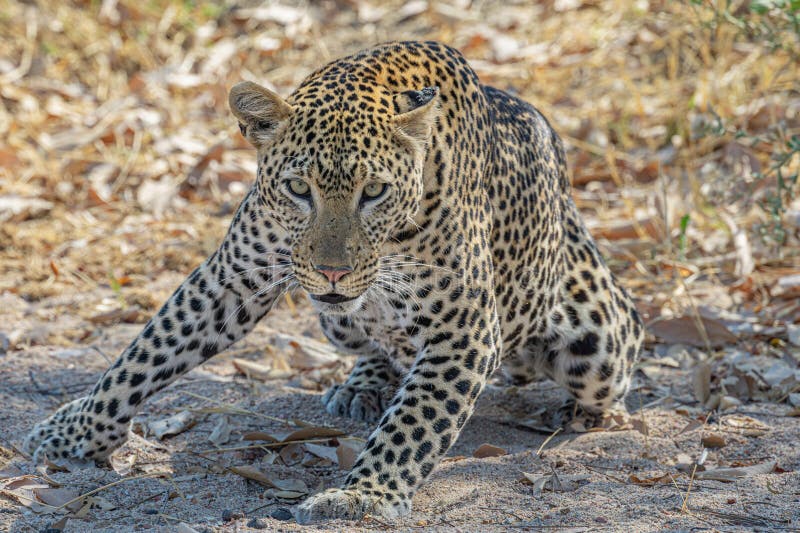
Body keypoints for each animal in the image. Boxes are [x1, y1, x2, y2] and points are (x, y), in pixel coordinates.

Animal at [24, 41, 644, 523]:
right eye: (300, 189)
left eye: (375, 191)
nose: (332, 272)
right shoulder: (231, 277)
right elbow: (146, 352)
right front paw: (74, 432)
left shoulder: (463, 325)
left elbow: (417, 420)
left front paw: (365, 495)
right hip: (334, 321)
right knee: (377, 346)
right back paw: (362, 385)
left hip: (598, 342)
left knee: (615, 353)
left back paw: (583, 416)